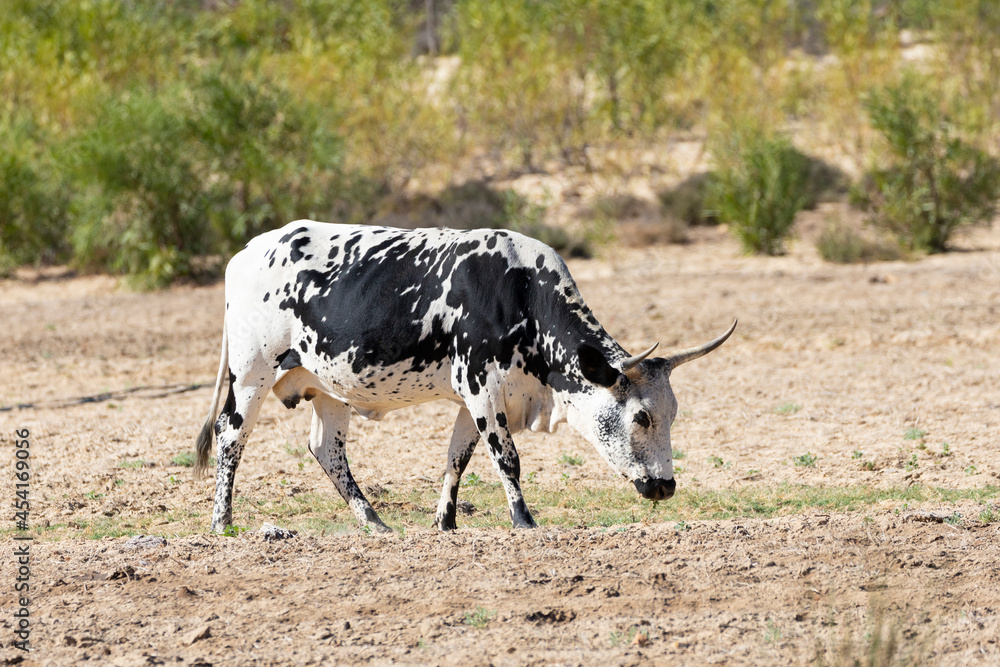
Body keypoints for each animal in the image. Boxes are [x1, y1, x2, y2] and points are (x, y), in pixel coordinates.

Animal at [195, 220, 736, 534]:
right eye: (642, 417)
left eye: (673, 414)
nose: (664, 486)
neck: (519, 290)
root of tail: (248, 250)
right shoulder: (482, 391)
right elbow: (507, 459)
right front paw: (523, 520)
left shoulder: (469, 401)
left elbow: (457, 458)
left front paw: (446, 521)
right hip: (251, 375)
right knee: (230, 436)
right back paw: (222, 522)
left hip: (328, 387)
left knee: (327, 449)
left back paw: (374, 522)